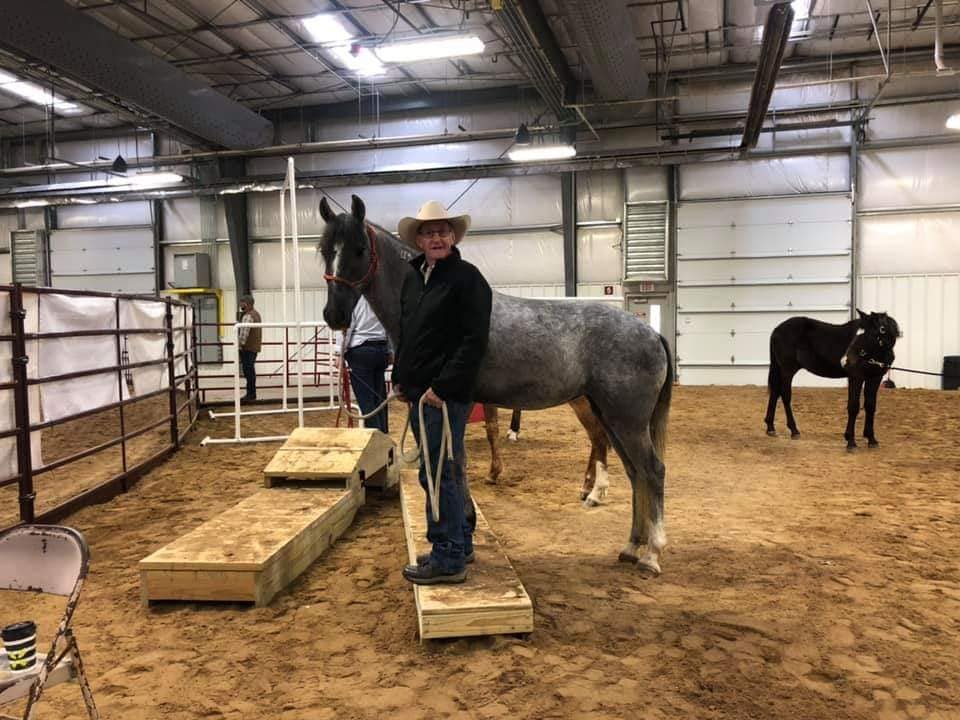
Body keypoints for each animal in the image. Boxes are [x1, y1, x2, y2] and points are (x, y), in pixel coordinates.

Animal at [764, 310, 900, 450]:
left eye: (868, 334)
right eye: (857, 334)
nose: (845, 361)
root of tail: (777, 330)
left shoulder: (874, 378)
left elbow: (870, 406)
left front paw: (871, 439)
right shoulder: (856, 377)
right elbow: (853, 406)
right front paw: (851, 441)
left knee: (775, 392)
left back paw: (771, 428)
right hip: (787, 370)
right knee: (785, 395)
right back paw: (794, 430)